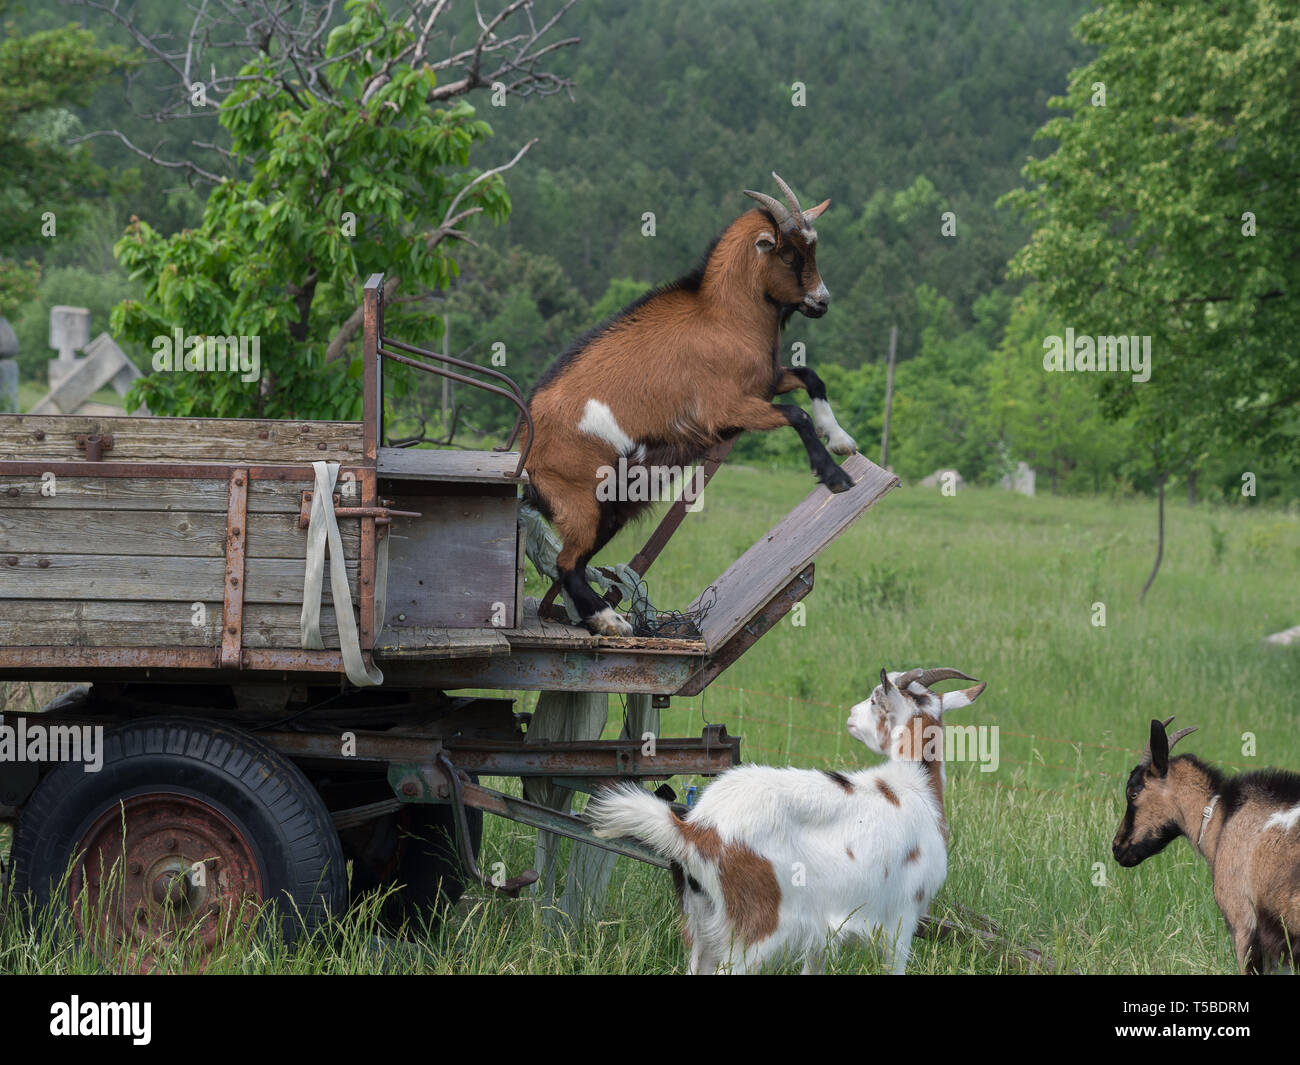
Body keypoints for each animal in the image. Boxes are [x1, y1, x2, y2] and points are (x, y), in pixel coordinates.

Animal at [523, 173, 857, 635]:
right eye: (789, 254)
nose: (821, 301)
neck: (723, 317)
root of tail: (525, 452)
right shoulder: (726, 408)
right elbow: (797, 414)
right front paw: (833, 475)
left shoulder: (765, 383)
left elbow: (812, 378)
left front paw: (841, 439)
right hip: (580, 502)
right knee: (567, 562)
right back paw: (612, 621)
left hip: (611, 507)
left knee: (572, 562)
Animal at [588, 667, 986, 973]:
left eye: (874, 700)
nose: (851, 715)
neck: (915, 787)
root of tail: (697, 830)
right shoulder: (902, 919)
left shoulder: (824, 933)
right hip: (756, 929)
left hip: (700, 924)